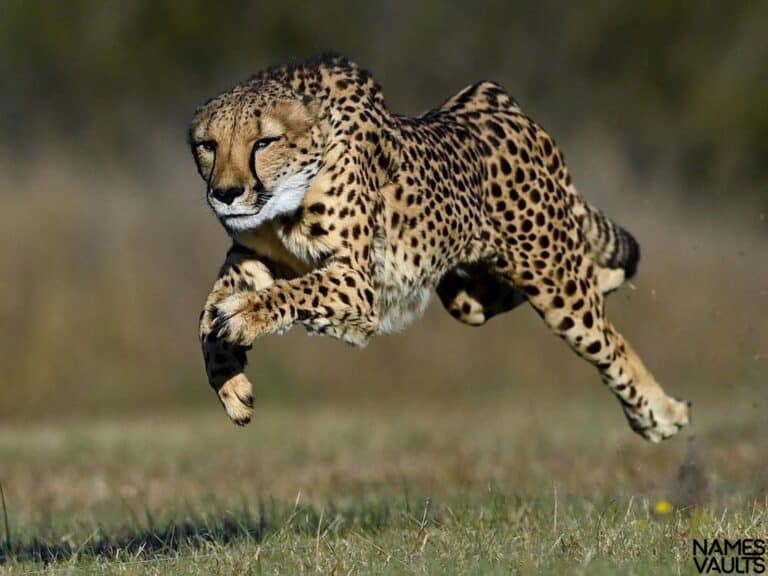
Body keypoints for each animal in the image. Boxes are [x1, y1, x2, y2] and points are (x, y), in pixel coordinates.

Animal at [189, 53, 690, 442]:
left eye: (264, 141)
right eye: (208, 145)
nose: (226, 194)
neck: (283, 202)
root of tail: (497, 101)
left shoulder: (357, 283)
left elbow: (287, 293)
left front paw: (244, 317)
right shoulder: (251, 256)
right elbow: (206, 315)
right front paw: (229, 381)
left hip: (555, 283)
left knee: (609, 341)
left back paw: (662, 415)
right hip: (466, 294)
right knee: (523, 291)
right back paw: (609, 278)